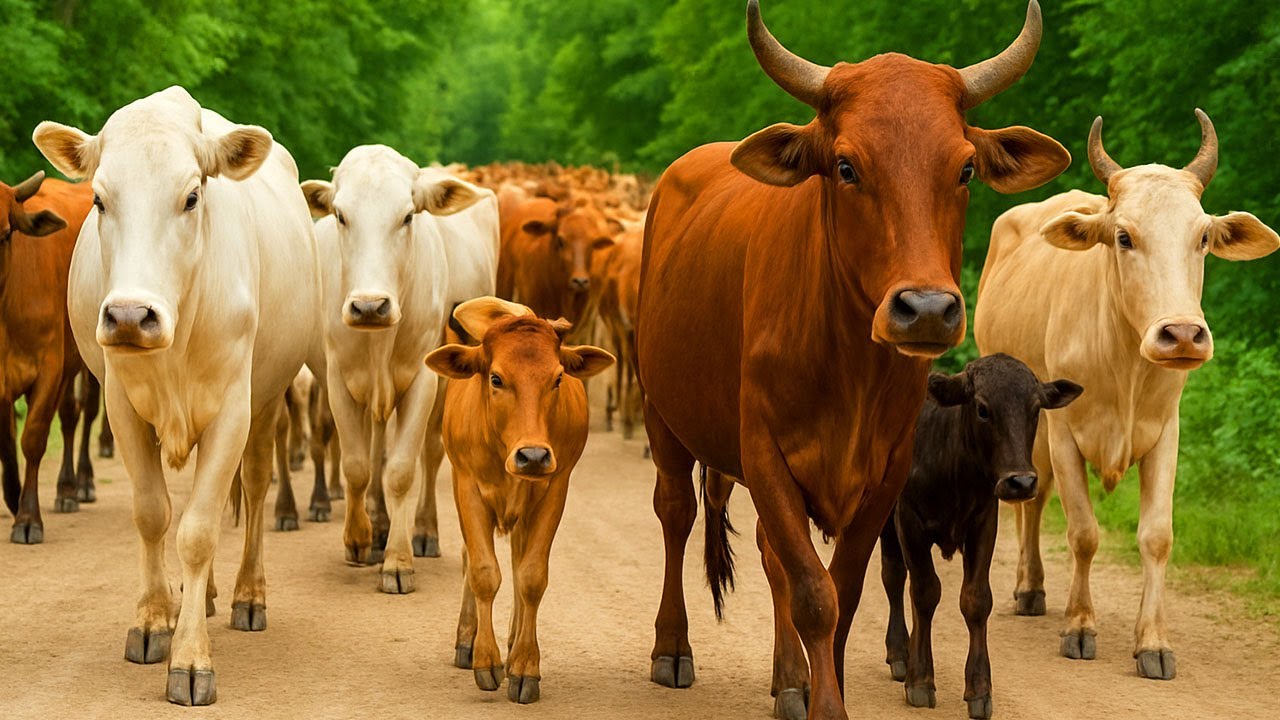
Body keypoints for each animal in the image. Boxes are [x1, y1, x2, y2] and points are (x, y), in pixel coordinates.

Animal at [34, 85, 323, 705]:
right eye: (98, 199)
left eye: (192, 197)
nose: (128, 316)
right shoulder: (121, 406)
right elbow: (154, 515)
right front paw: (152, 619)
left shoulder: (233, 411)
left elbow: (198, 531)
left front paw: (191, 659)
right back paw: (199, 596)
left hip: (267, 401)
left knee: (255, 488)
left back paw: (246, 595)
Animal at [300, 145, 498, 592]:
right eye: (340, 215)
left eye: (408, 216)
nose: (370, 306)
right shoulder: (338, 380)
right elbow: (357, 466)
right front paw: (359, 539)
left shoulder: (422, 381)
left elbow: (403, 470)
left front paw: (398, 560)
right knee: (374, 451)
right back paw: (376, 526)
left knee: (431, 452)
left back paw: (422, 531)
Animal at [425, 297, 614, 705]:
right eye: (496, 379)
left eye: (557, 378)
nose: (533, 456)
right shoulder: (467, 488)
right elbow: (483, 572)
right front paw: (485, 660)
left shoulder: (554, 490)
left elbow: (530, 577)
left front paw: (525, 666)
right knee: (471, 558)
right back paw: (468, 639)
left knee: (516, 563)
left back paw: (512, 644)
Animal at [879, 355, 1081, 719]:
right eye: (983, 409)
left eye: (1035, 409)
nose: (1021, 482)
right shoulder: (909, 523)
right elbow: (925, 592)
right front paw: (920, 680)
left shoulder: (984, 526)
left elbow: (975, 600)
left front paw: (979, 690)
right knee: (894, 577)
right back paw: (900, 653)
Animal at [973, 110, 1279, 681]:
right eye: (1123, 236)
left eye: (1204, 237)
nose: (1182, 335)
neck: (1125, 366)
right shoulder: (1064, 432)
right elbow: (1083, 532)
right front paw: (1079, 626)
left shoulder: (1166, 434)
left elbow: (1156, 536)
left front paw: (1153, 643)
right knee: (1033, 497)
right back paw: (1029, 588)